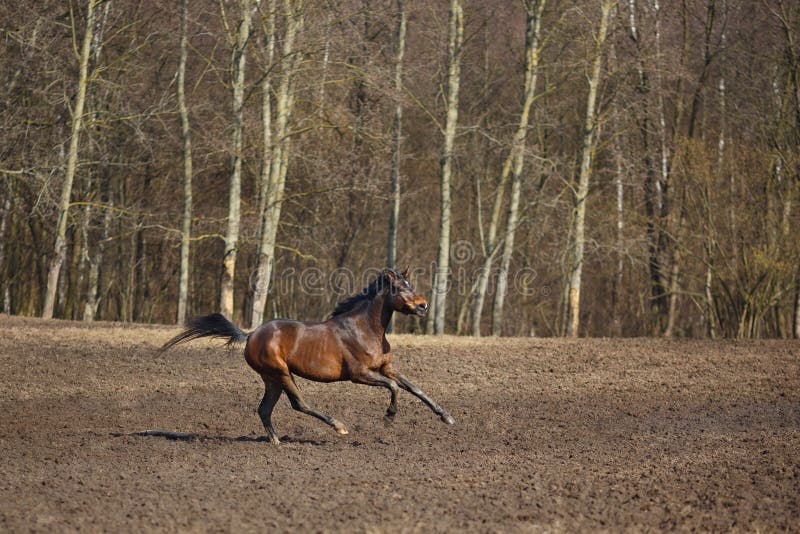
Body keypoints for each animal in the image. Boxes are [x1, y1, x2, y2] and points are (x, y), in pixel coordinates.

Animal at [161, 267, 455, 444]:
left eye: (411, 284)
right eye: (400, 288)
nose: (423, 306)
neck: (365, 328)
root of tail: (251, 334)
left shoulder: (385, 368)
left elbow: (414, 387)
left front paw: (447, 417)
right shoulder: (359, 374)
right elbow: (394, 387)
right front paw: (389, 416)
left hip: (272, 379)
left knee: (264, 408)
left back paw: (276, 441)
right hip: (281, 373)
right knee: (298, 404)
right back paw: (338, 426)